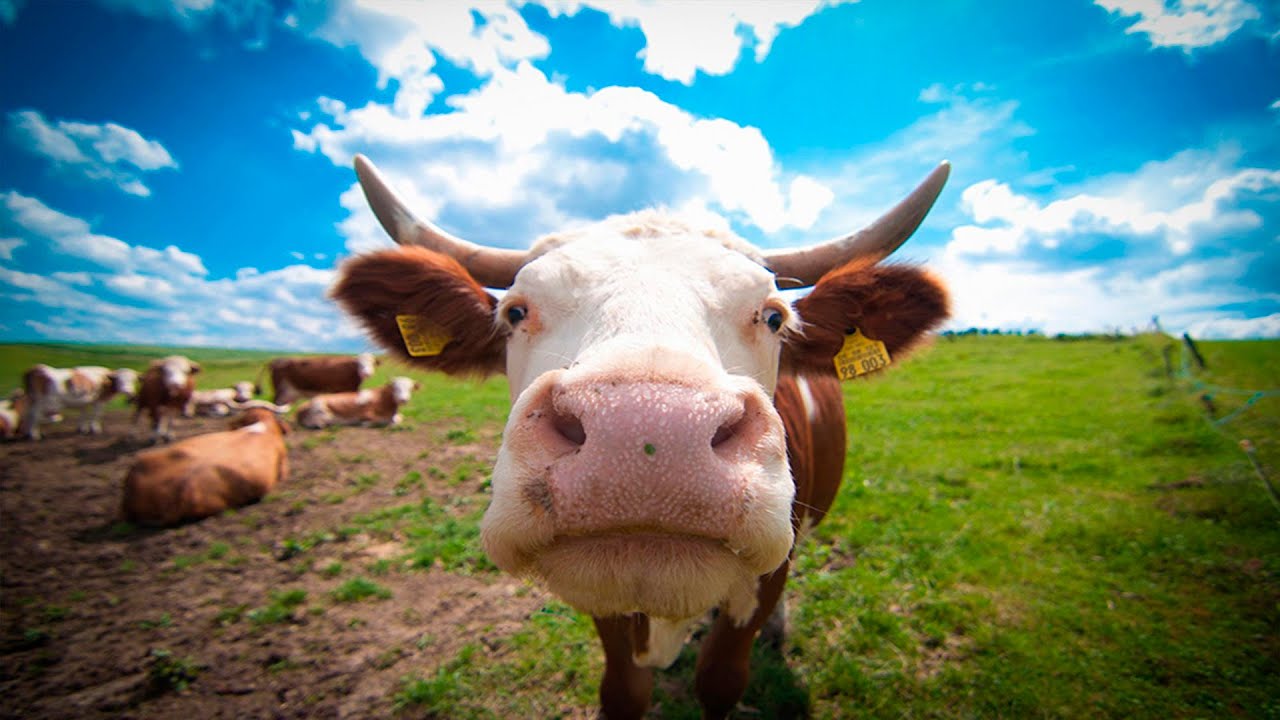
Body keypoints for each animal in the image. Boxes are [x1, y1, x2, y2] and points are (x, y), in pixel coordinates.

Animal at [330, 154, 951, 719]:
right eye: (515, 312)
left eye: (773, 316)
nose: (647, 432)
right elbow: (624, 692)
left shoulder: (765, 580)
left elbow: (720, 682)